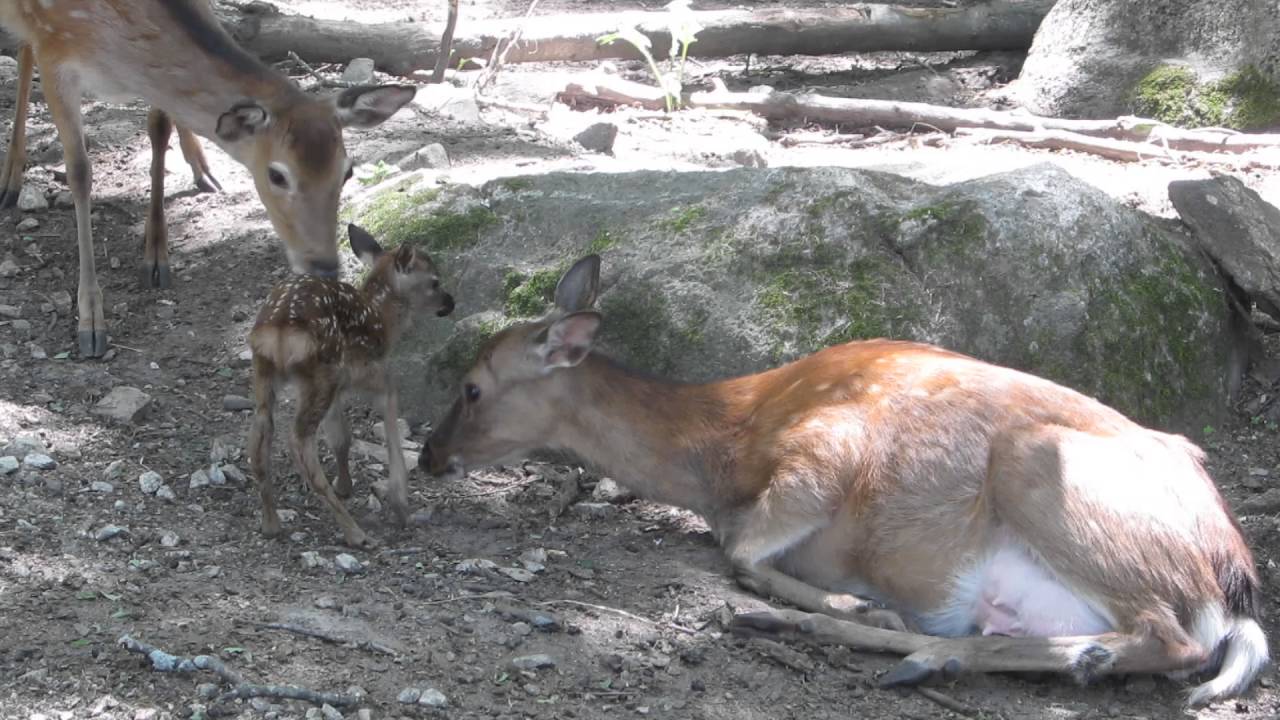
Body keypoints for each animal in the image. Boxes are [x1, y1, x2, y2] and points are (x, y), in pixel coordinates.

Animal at [0, 0, 417, 357]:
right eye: (277, 175)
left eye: (347, 171)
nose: (326, 266)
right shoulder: (54, 48)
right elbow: (80, 171)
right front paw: (90, 320)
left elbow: (159, 127)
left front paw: (156, 254)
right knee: (22, 52)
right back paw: (11, 179)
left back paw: (202, 168)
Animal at [248, 224, 454, 548]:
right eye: (434, 281)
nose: (450, 302)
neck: (383, 319)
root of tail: (279, 329)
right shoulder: (370, 373)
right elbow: (389, 415)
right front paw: (400, 503)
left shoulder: (339, 390)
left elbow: (341, 438)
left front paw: (345, 484)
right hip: (321, 375)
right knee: (298, 442)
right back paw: (354, 532)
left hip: (267, 375)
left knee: (260, 435)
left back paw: (271, 523)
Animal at [420, 254, 1268, 707]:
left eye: (472, 388)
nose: (428, 456)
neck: (723, 448)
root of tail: (1232, 575)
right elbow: (739, 550)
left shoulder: (824, 451)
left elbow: (739, 553)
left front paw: (837, 597)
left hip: (1041, 471)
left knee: (1171, 637)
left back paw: (879, 633)